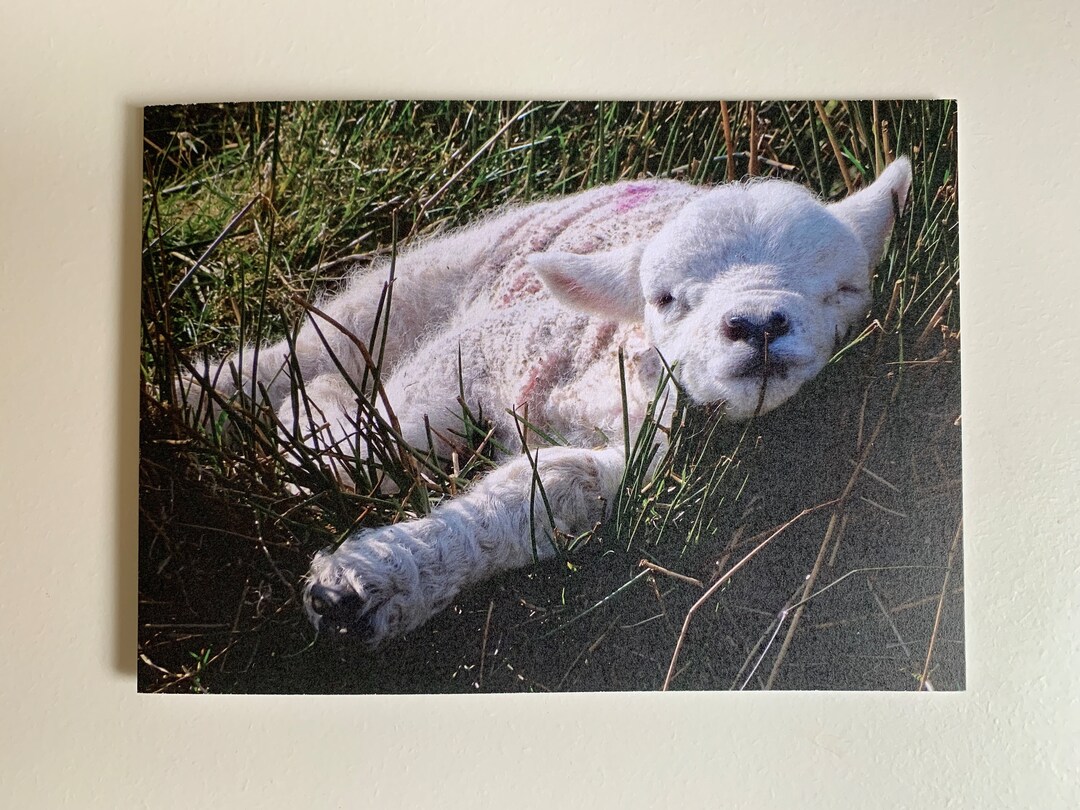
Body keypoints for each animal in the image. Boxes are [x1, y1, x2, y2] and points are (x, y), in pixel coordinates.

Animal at [193, 158, 911, 645]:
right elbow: (382, 438)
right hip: (417, 282)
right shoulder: (482, 351)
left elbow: (552, 489)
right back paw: (208, 392)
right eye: (665, 298)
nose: (759, 324)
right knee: (306, 347)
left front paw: (379, 584)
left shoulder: (643, 454)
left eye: (843, 290)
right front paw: (314, 449)